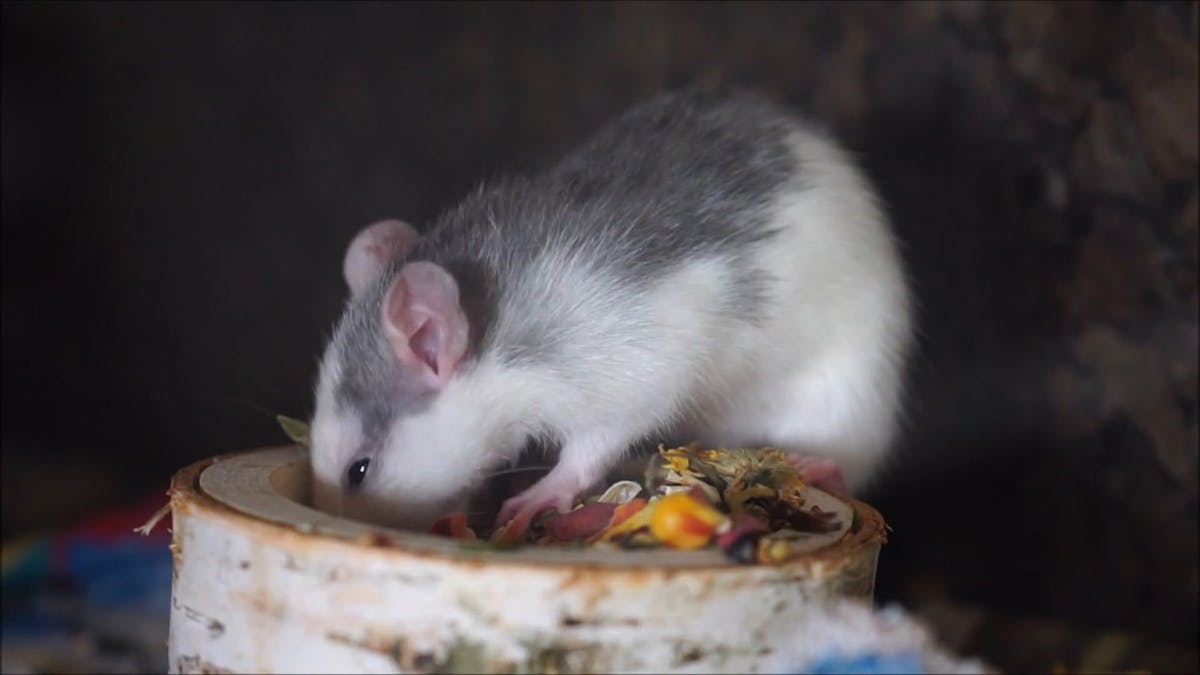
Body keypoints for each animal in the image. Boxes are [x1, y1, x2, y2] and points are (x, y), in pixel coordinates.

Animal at [309, 88, 914, 532]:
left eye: (358, 471)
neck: (489, 320)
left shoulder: (619, 362)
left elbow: (608, 429)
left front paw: (547, 488)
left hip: (849, 400)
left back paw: (818, 465)